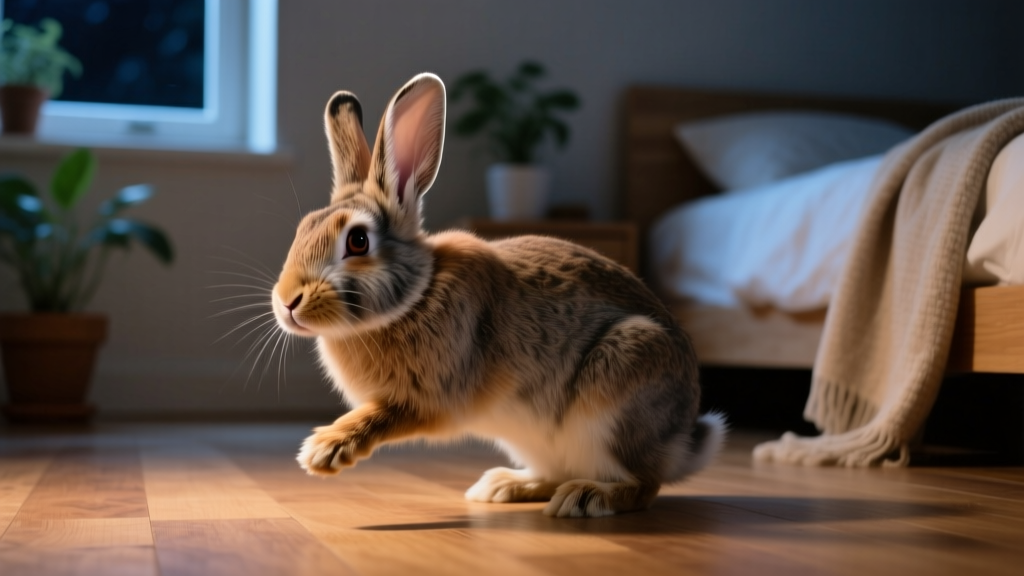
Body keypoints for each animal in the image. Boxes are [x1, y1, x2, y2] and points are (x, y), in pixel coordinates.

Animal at [272, 72, 726, 518]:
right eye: (302, 230)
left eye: (358, 241)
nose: (287, 301)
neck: (415, 297)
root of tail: (681, 441)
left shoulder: (429, 397)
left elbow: (380, 415)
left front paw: (322, 451)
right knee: (559, 473)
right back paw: (504, 486)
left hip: (619, 393)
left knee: (644, 485)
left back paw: (586, 498)